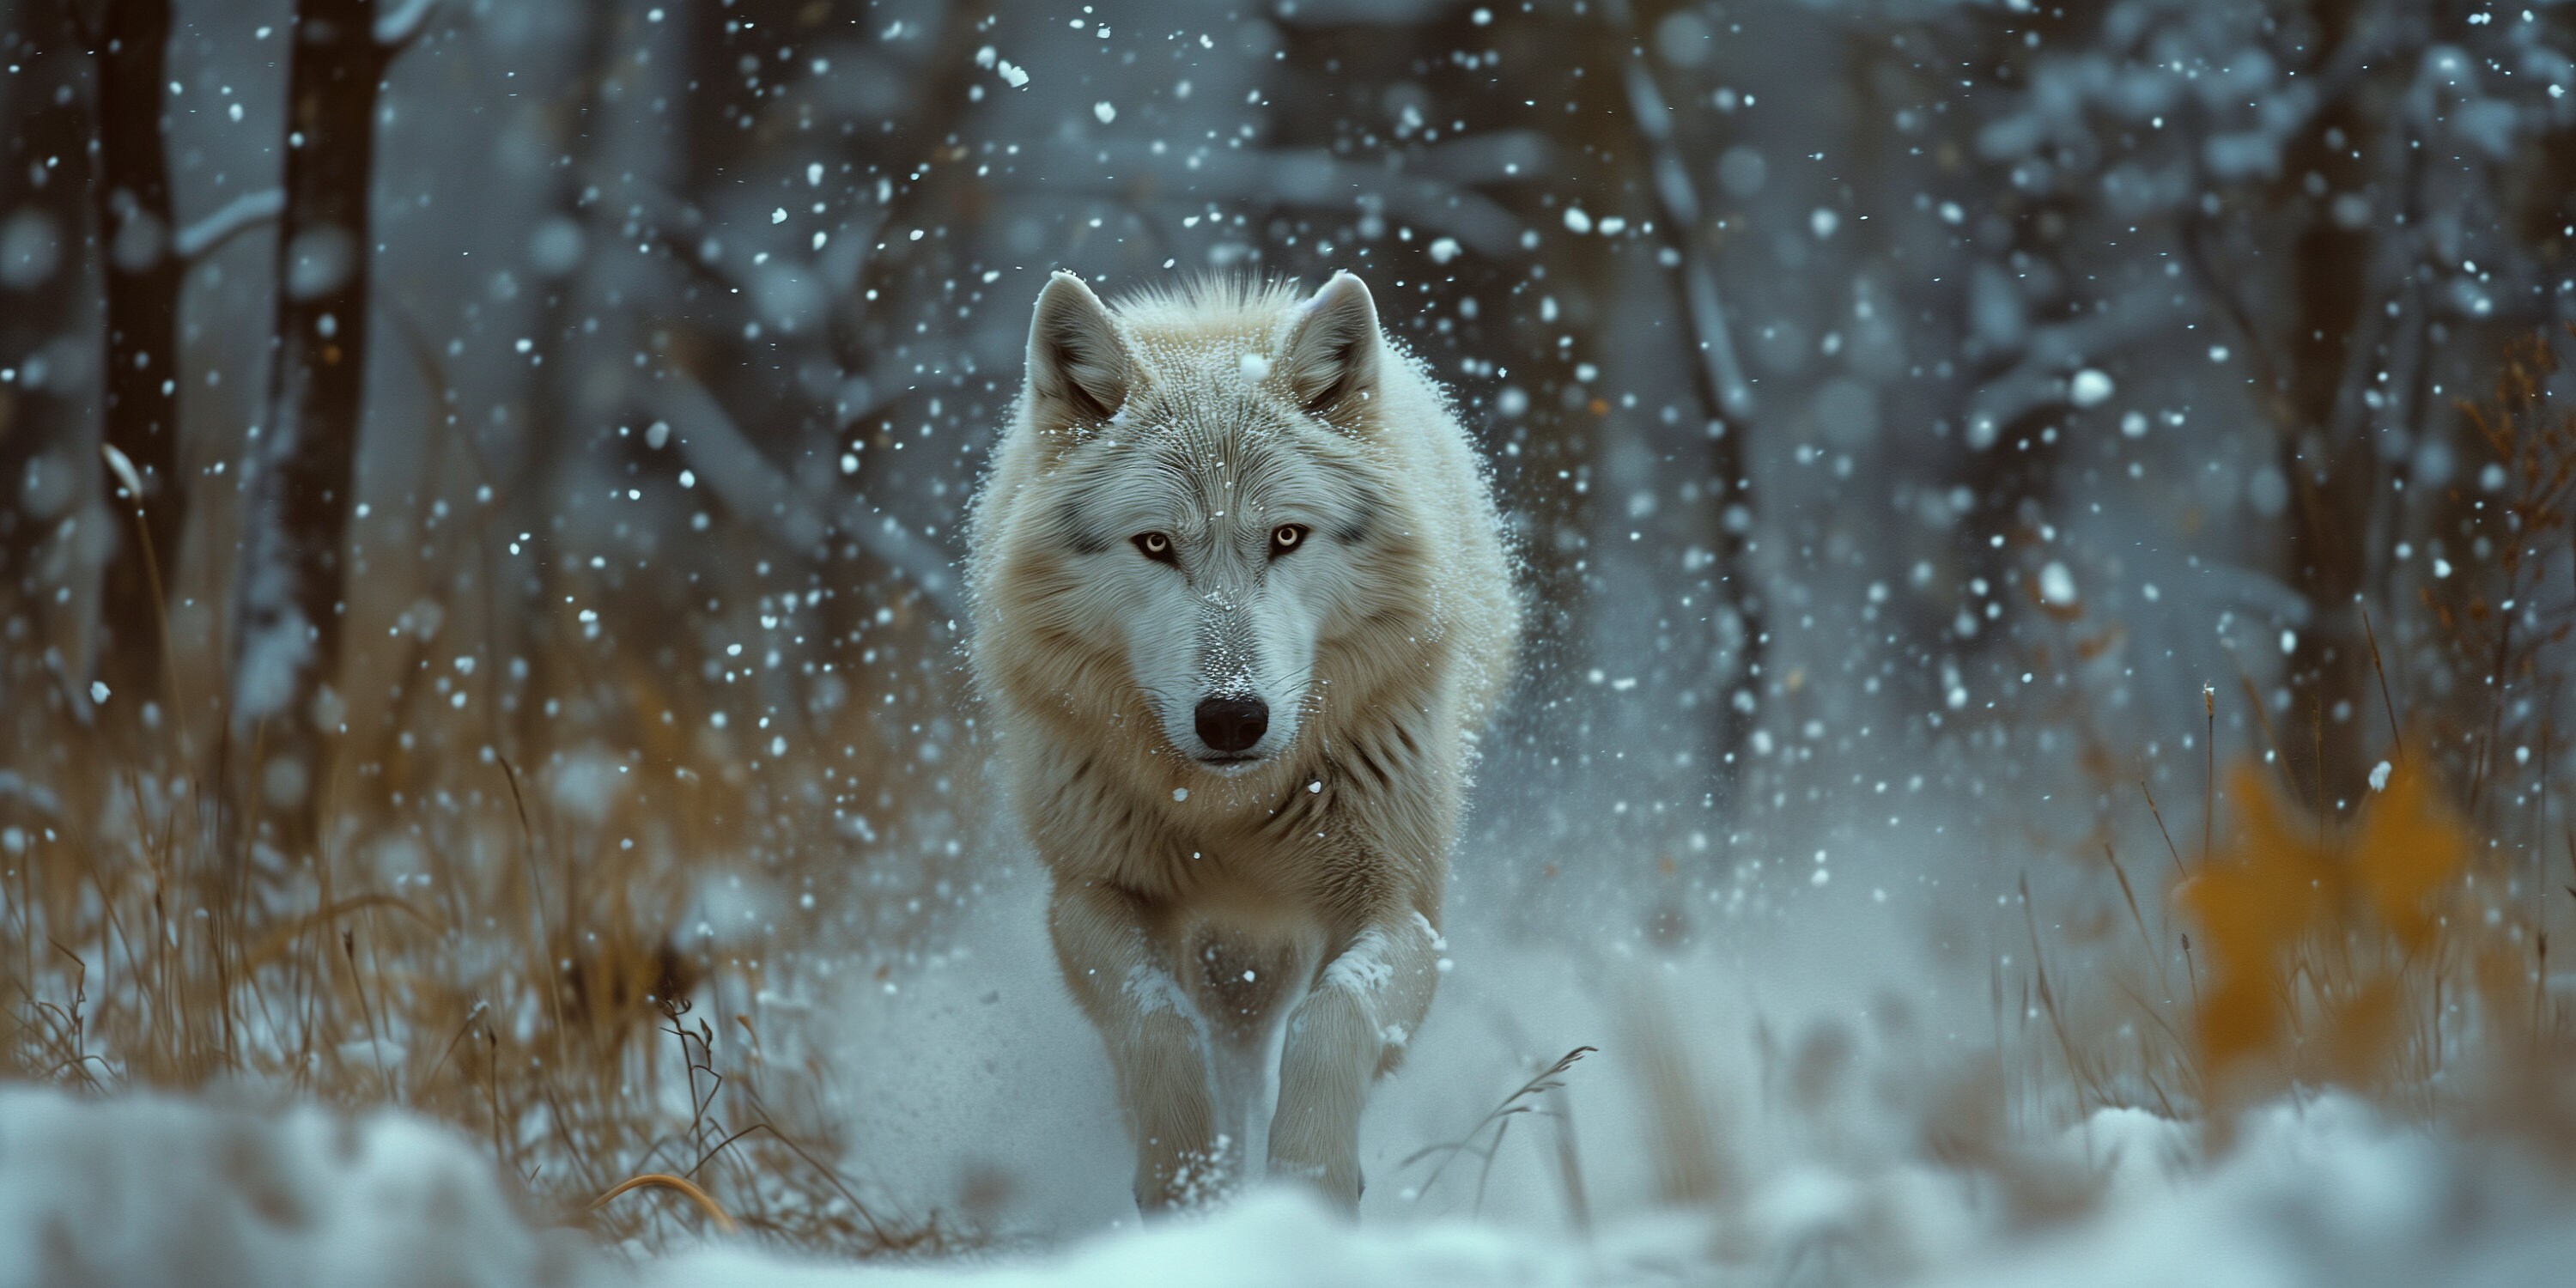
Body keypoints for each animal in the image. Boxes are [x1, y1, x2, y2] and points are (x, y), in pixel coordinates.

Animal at [965, 271, 1520, 1214]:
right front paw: (1190, 1192)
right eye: (1156, 544)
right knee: (1226, 1055)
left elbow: (1333, 1018)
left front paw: (1306, 1190)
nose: (1232, 717)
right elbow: (1156, 1021)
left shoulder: (1401, 906)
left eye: (1286, 536)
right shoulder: (1089, 896)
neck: (1228, 808)